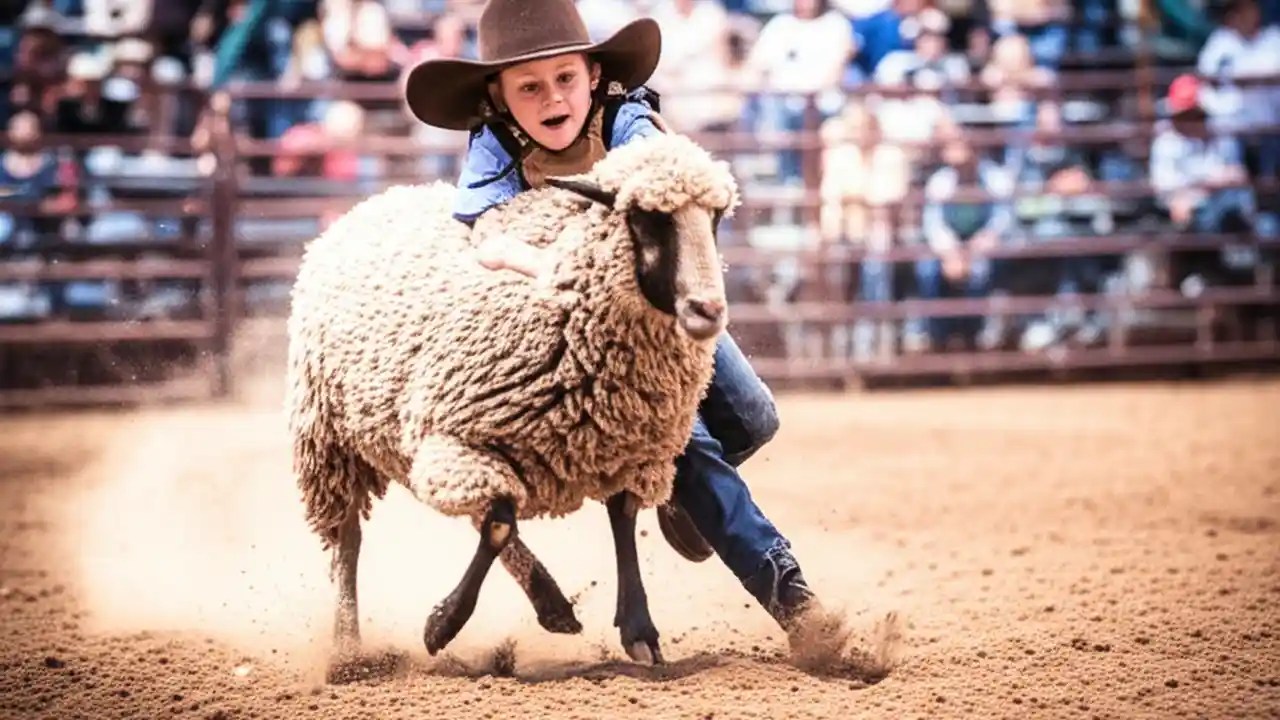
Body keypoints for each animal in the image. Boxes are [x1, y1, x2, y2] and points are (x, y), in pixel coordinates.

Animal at [285, 132, 740, 666]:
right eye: (646, 217)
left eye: (716, 217)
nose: (708, 310)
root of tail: (373, 202)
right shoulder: (456, 439)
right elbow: (500, 523)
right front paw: (442, 624)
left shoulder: (625, 450)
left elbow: (621, 521)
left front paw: (639, 630)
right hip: (329, 438)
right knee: (348, 540)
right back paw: (348, 647)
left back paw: (551, 603)